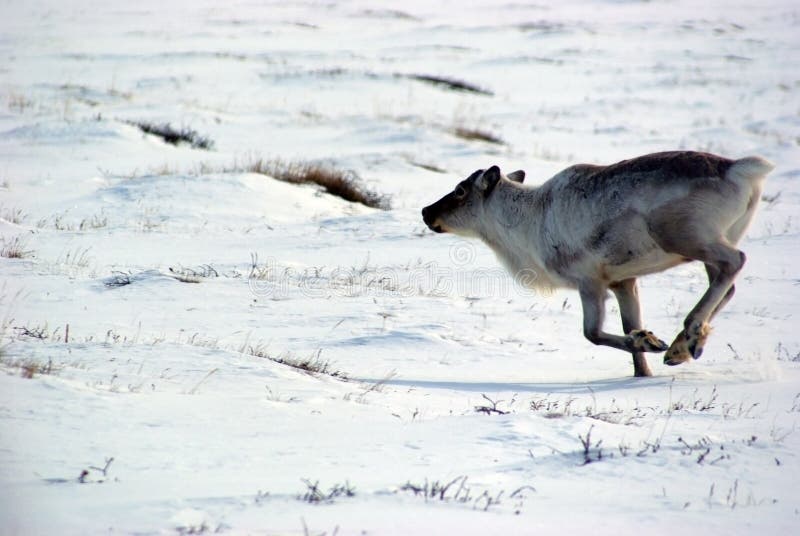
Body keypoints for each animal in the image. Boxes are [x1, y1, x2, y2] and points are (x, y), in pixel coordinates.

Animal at [421, 151, 774, 377]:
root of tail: (740, 170)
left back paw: (686, 337)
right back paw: (683, 346)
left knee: (735, 261)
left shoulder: (589, 280)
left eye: (460, 190)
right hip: (713, 240)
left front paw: (648, 341)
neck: (527, 223)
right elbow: (629, 327)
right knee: (726, 284)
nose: (426, 211)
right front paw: (644, 361)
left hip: (683, 236)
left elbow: (591, 333)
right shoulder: (623, 281)